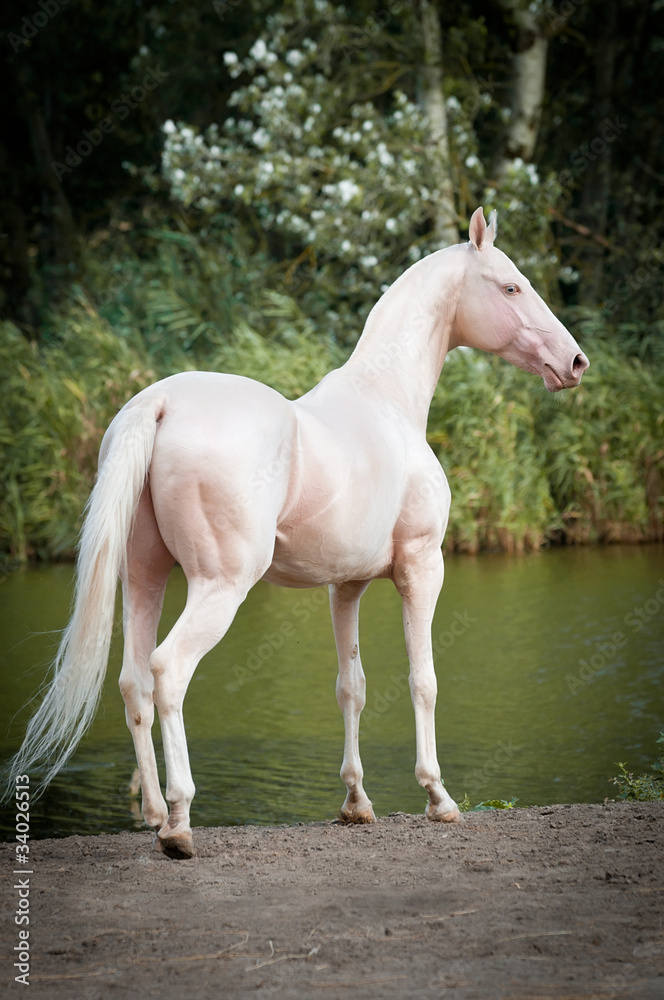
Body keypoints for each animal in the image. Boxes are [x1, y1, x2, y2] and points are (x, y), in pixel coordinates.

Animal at [4, 208, 589, 858]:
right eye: (511, 286)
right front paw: (438, 798)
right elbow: (424, 681)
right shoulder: (421, 568)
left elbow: (351, 686)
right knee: (167, 671)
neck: (386, 404)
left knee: (134, 682)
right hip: (219, 587)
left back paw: (155, 813)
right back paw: (179, 824)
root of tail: (160, 403)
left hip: (146, 576)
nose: (574, 363)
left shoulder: (346, 586)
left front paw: (356, 804)